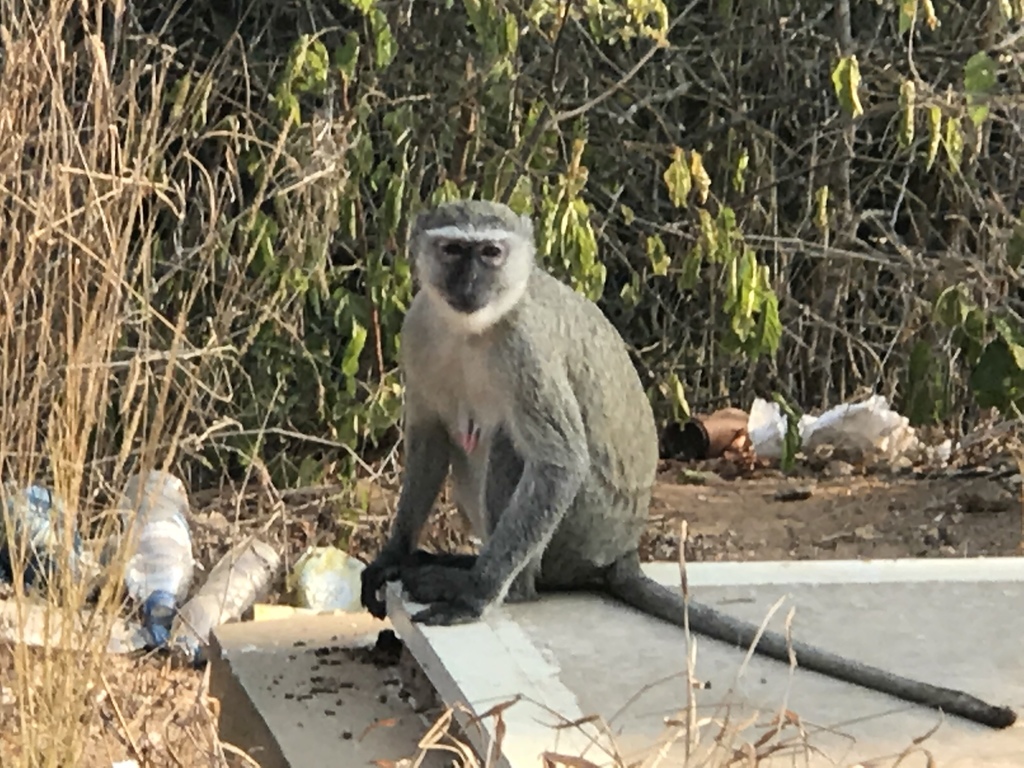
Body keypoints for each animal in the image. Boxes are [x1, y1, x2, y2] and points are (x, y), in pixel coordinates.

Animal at [360, 199, 1017, 730]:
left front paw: (476, 596)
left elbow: (559, 460)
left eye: (490, 253)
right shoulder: (419, 327)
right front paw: (394, 555)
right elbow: (429, 437)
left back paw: (498, 584)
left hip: (580, 530)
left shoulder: (526, 347)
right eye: (453, 250)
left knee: (507, 446)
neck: (472, 327)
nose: (469, 282)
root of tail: (619, 552)